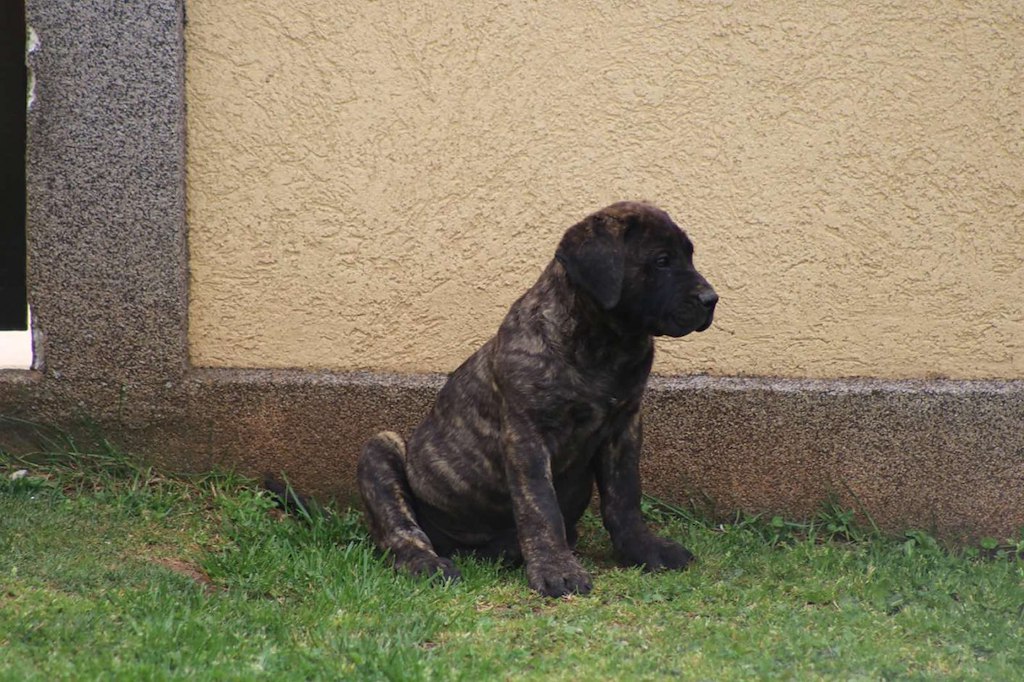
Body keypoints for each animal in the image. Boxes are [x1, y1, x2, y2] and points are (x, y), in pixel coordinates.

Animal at [356, 200, 716, 593]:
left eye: (690, 255)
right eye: (662, 260)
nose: (711, 300)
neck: (603, 345)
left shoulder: (624, 427)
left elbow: (624, 497)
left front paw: (644, 550)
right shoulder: (527, 435)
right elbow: (541, 506)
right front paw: (556, 569)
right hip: (381, 449)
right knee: (402, 533)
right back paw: (429, 563)